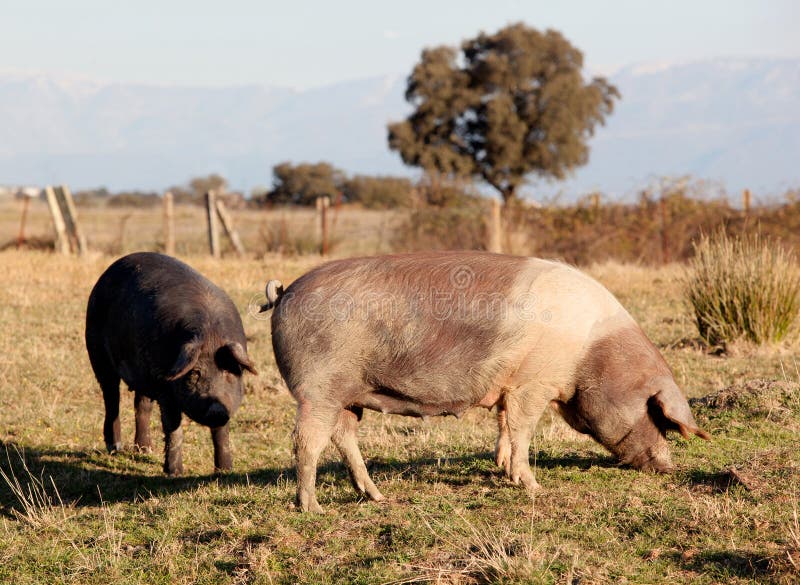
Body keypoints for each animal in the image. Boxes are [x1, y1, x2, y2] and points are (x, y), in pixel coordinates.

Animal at [85, 252, 257, 475]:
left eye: (229, 372)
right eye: (194, 373)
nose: (216, 410)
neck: (211, 335)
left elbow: (221, 433)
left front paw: (225, 470)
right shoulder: (165, 386)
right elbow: (173, 427)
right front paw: (174, 472)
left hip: (143, 374)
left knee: (141, 404)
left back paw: (144, 450)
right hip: (97, 352)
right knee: (111, 398)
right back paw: (115, 447)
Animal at [260, 251, 709, 512]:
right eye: (656, 412)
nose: (669, 465)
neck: (589, 349)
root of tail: (283, 293)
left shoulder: (511, 386)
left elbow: (505, 426)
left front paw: (504, 470)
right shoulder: (534, 383)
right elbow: (523, 429)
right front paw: (533, 487)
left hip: (347, 395)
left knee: (343, 437)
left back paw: (376, 496)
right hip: (318, 387)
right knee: (307, 441)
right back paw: (312, 508)